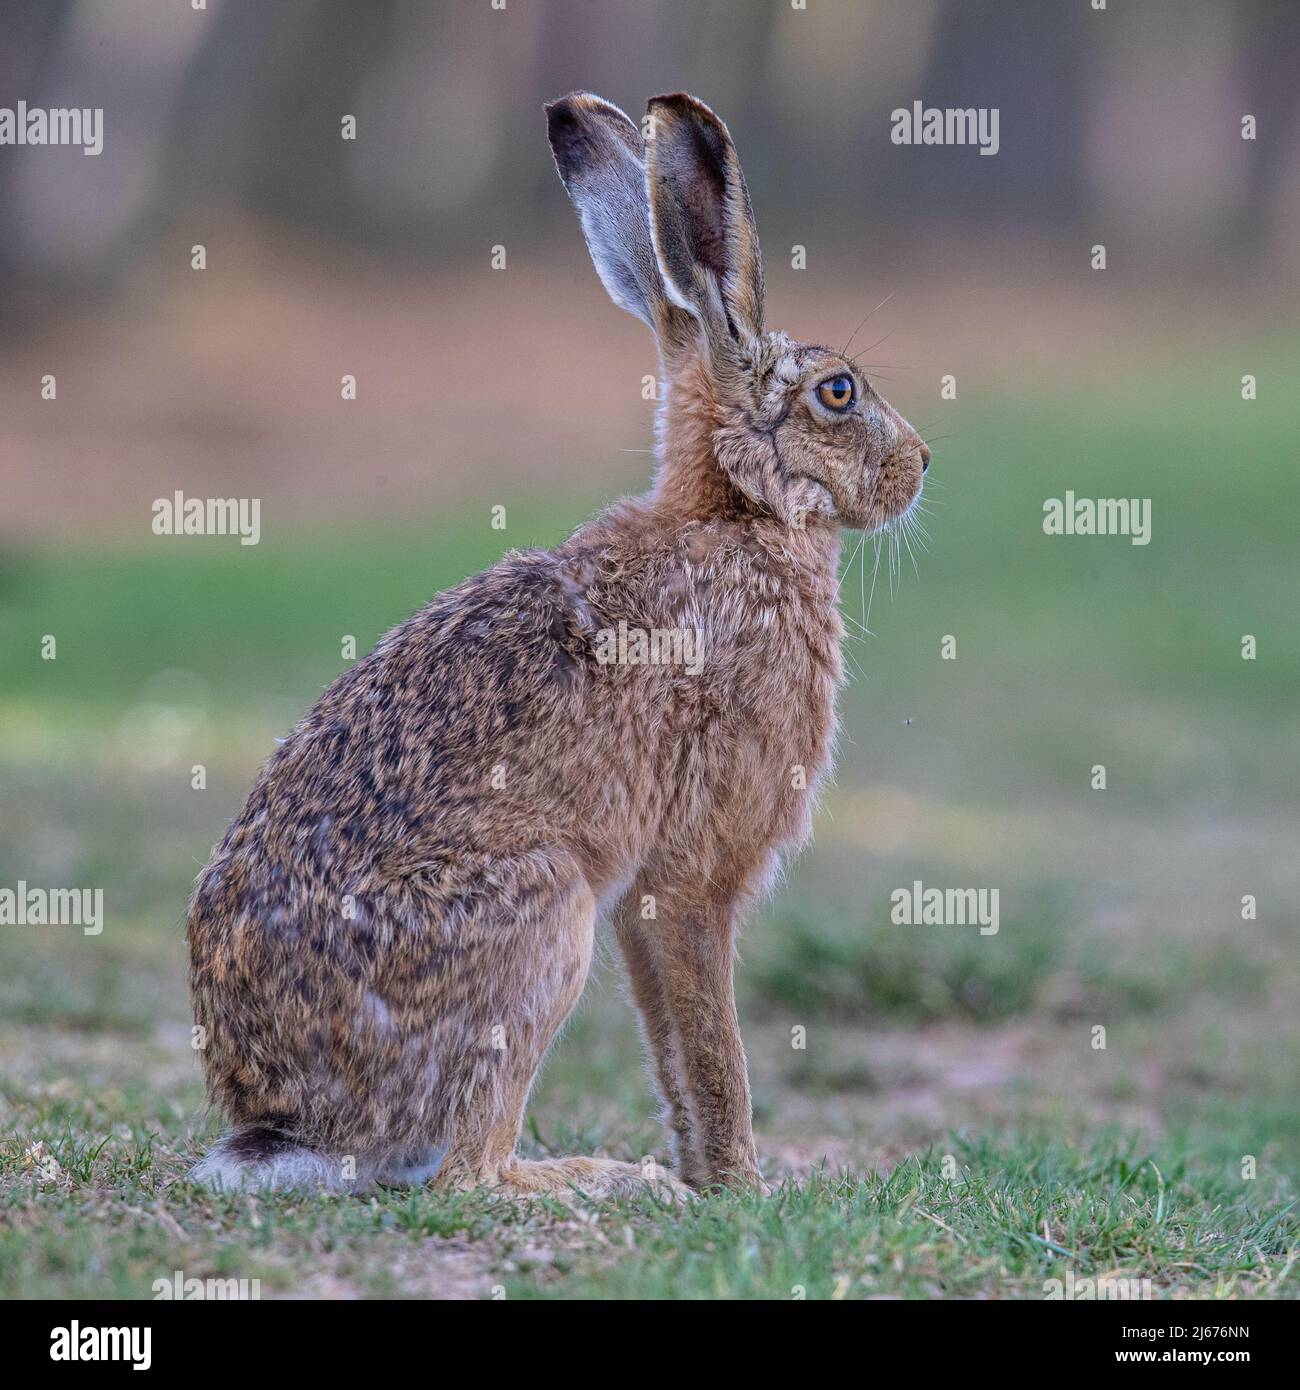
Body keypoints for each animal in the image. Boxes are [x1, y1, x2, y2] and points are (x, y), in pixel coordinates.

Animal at [186, 90, 929, 1199]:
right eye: (837, 392)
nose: (921, 465)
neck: (737, 513)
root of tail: (289, 1125)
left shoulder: (642, 908)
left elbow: (673, 1053)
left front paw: (709, 1182)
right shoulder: (689, 879)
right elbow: (717, 1054)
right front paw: (740, 1190)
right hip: (539, 920)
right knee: (467, 1172)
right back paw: (598, 1178)